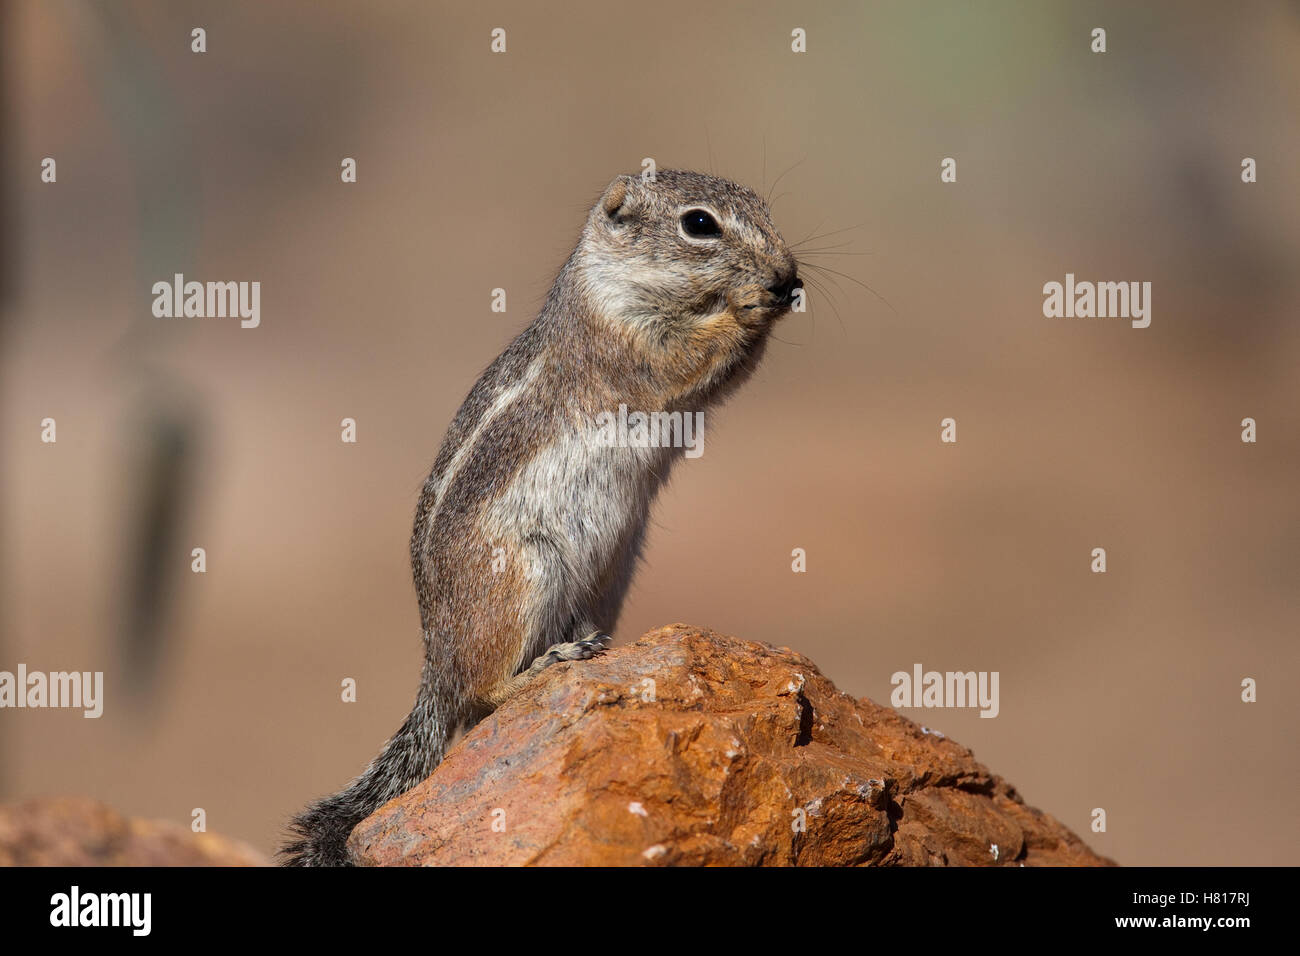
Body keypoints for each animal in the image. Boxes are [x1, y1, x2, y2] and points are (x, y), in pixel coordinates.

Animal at [281, 169, 801, 866]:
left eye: (764, 207)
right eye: (699, 224)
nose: (786, 271)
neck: (607, 284)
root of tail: (435, 670)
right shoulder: (627, 346)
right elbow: (686, 360)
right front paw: (748, 304)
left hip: (607, 580)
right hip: (521, 576)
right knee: (483, 695)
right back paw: (548, 665)